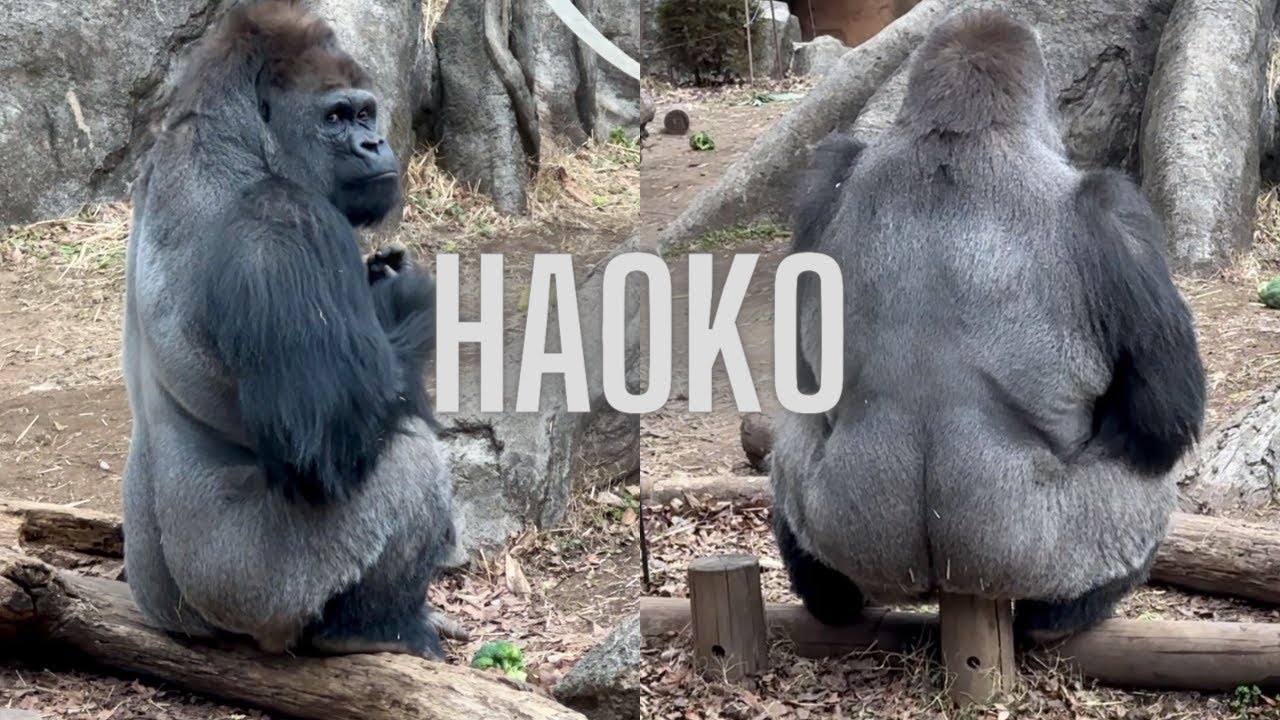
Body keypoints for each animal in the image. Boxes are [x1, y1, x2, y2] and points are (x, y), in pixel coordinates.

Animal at [120, 0, 460, 658]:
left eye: (365, 112)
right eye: (337, 117)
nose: (376, 142)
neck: (230, 140)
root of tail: (186, 625)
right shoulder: (282, 223)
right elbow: (331, 441)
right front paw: (402, 296)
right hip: (255, 599)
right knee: (408, 457)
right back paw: (370, 629)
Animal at [770, 9, 1206, 644]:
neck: (959, 134)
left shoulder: (824, 175)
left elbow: (800, 378)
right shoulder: (1113, 210)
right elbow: (1166, 417)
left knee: (792, 446)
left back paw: (828, 596)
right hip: (1029, 555)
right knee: (1142, 485)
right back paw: (1059, 618)